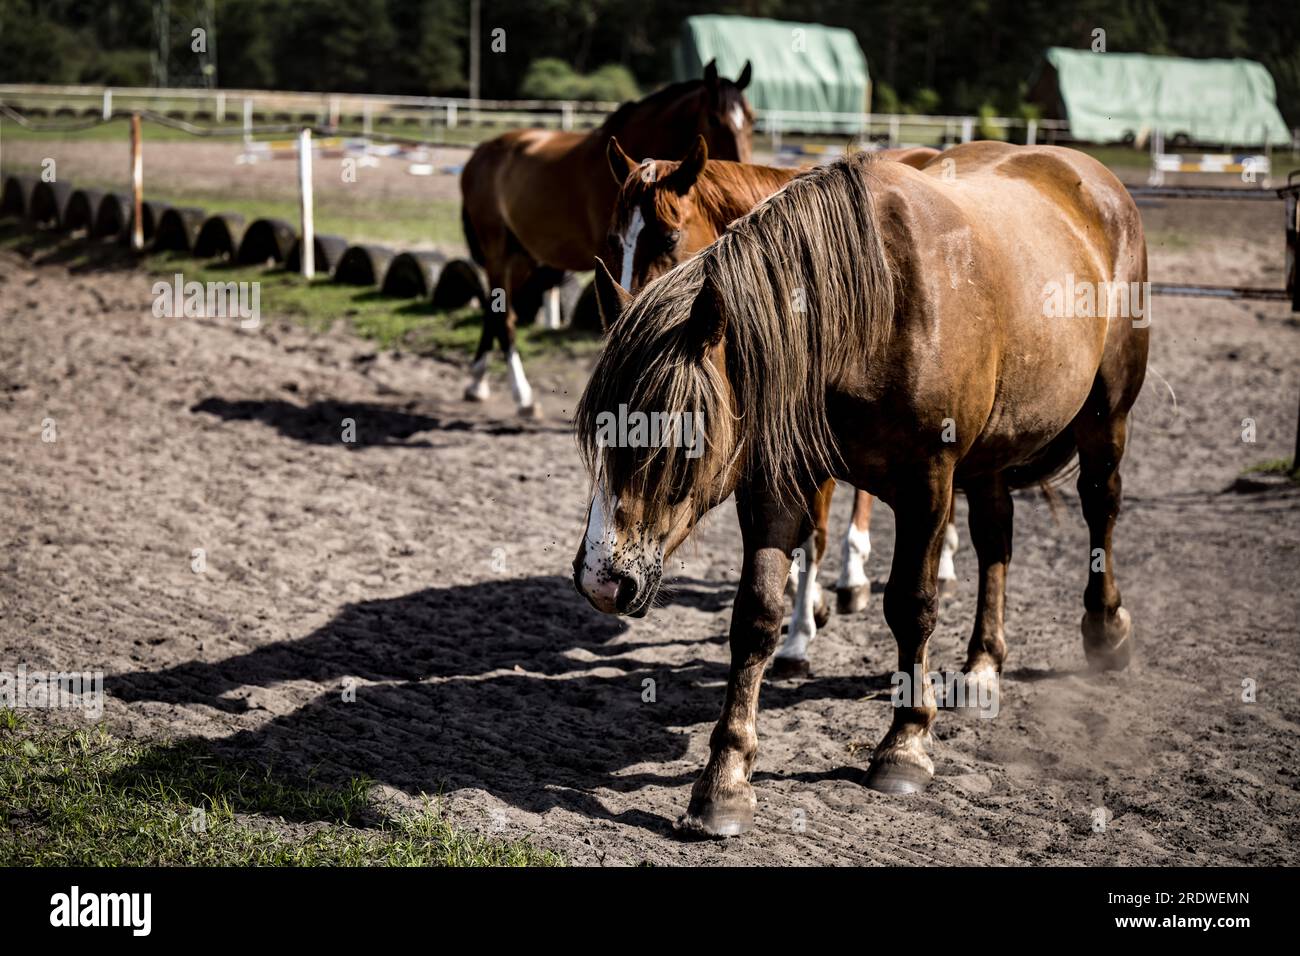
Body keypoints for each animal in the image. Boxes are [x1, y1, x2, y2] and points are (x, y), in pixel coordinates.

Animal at [458, 60, 754, 418]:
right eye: (713, 118)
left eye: (751, 119)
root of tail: (480, 153)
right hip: (498, 253)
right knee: (504, 318)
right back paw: (522, 396)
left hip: (521, 256)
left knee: (495, 309)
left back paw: (477, 382)